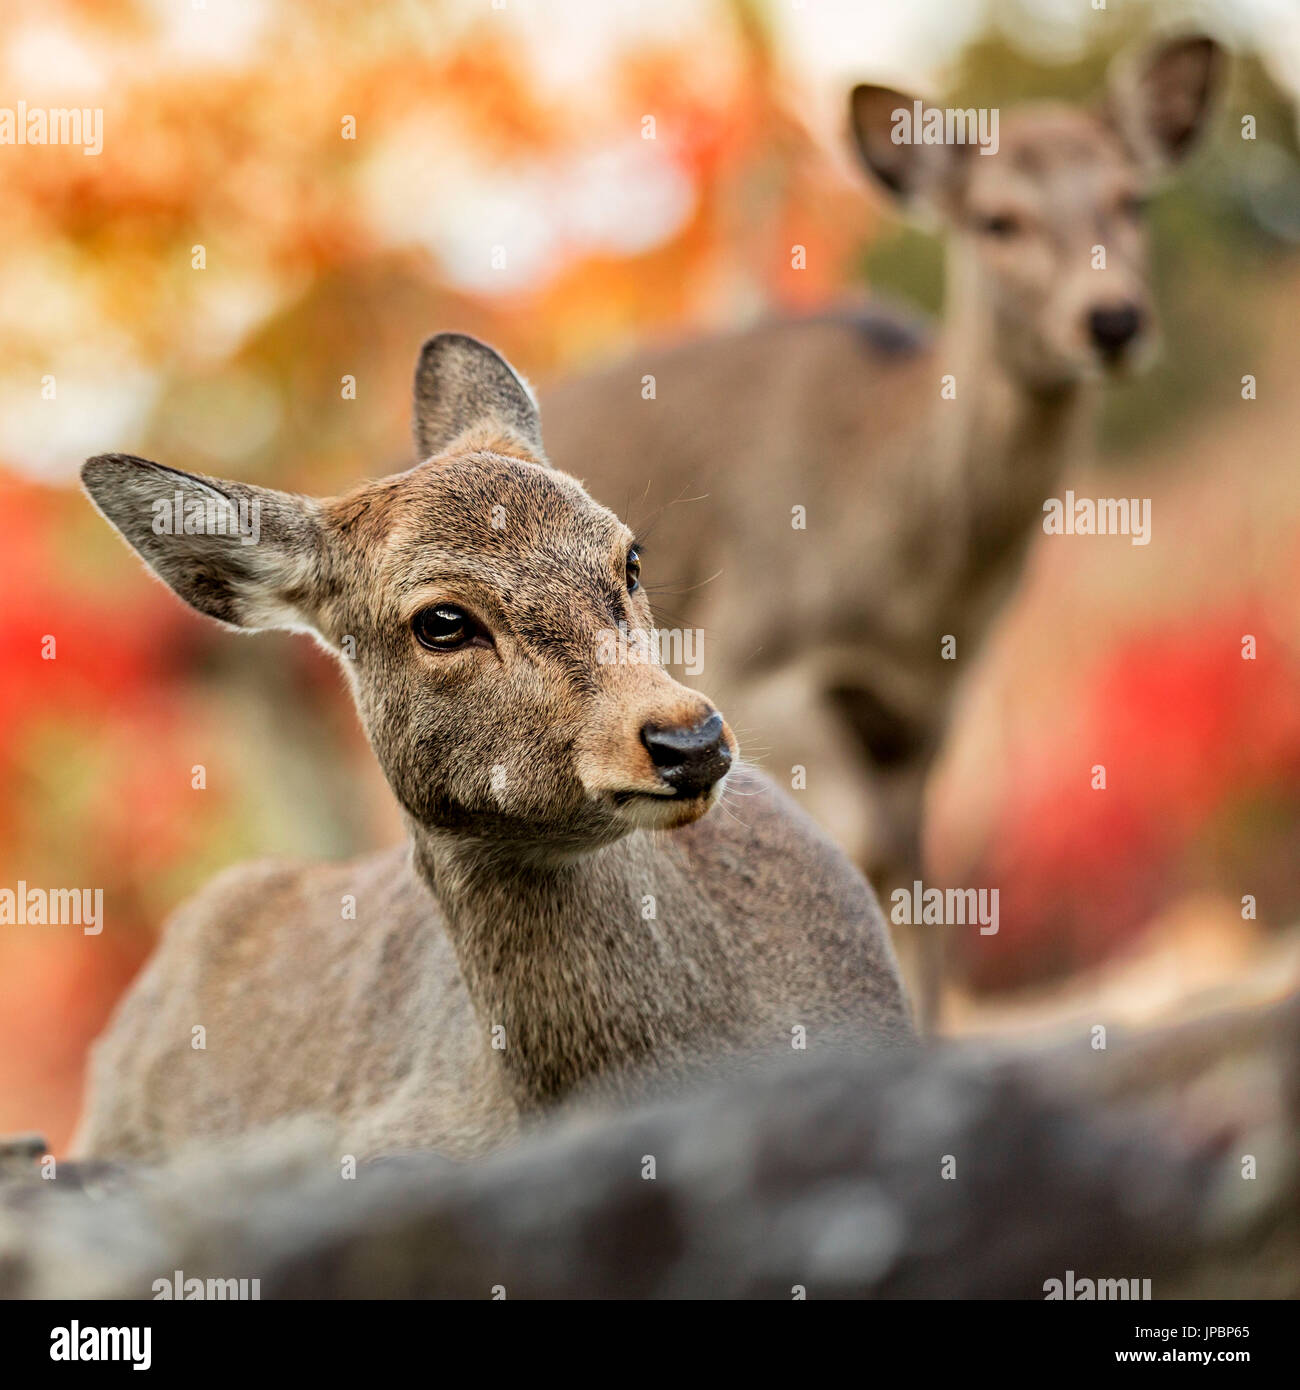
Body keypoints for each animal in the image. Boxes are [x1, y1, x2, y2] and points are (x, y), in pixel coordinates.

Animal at [538, 34, 1225, 1024]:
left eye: (1134, 198)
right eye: (997, 221)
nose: (1112, 318)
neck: (909, 585)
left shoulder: (928, 704)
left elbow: (914, 864)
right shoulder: (746, 649)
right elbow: (855, 840)